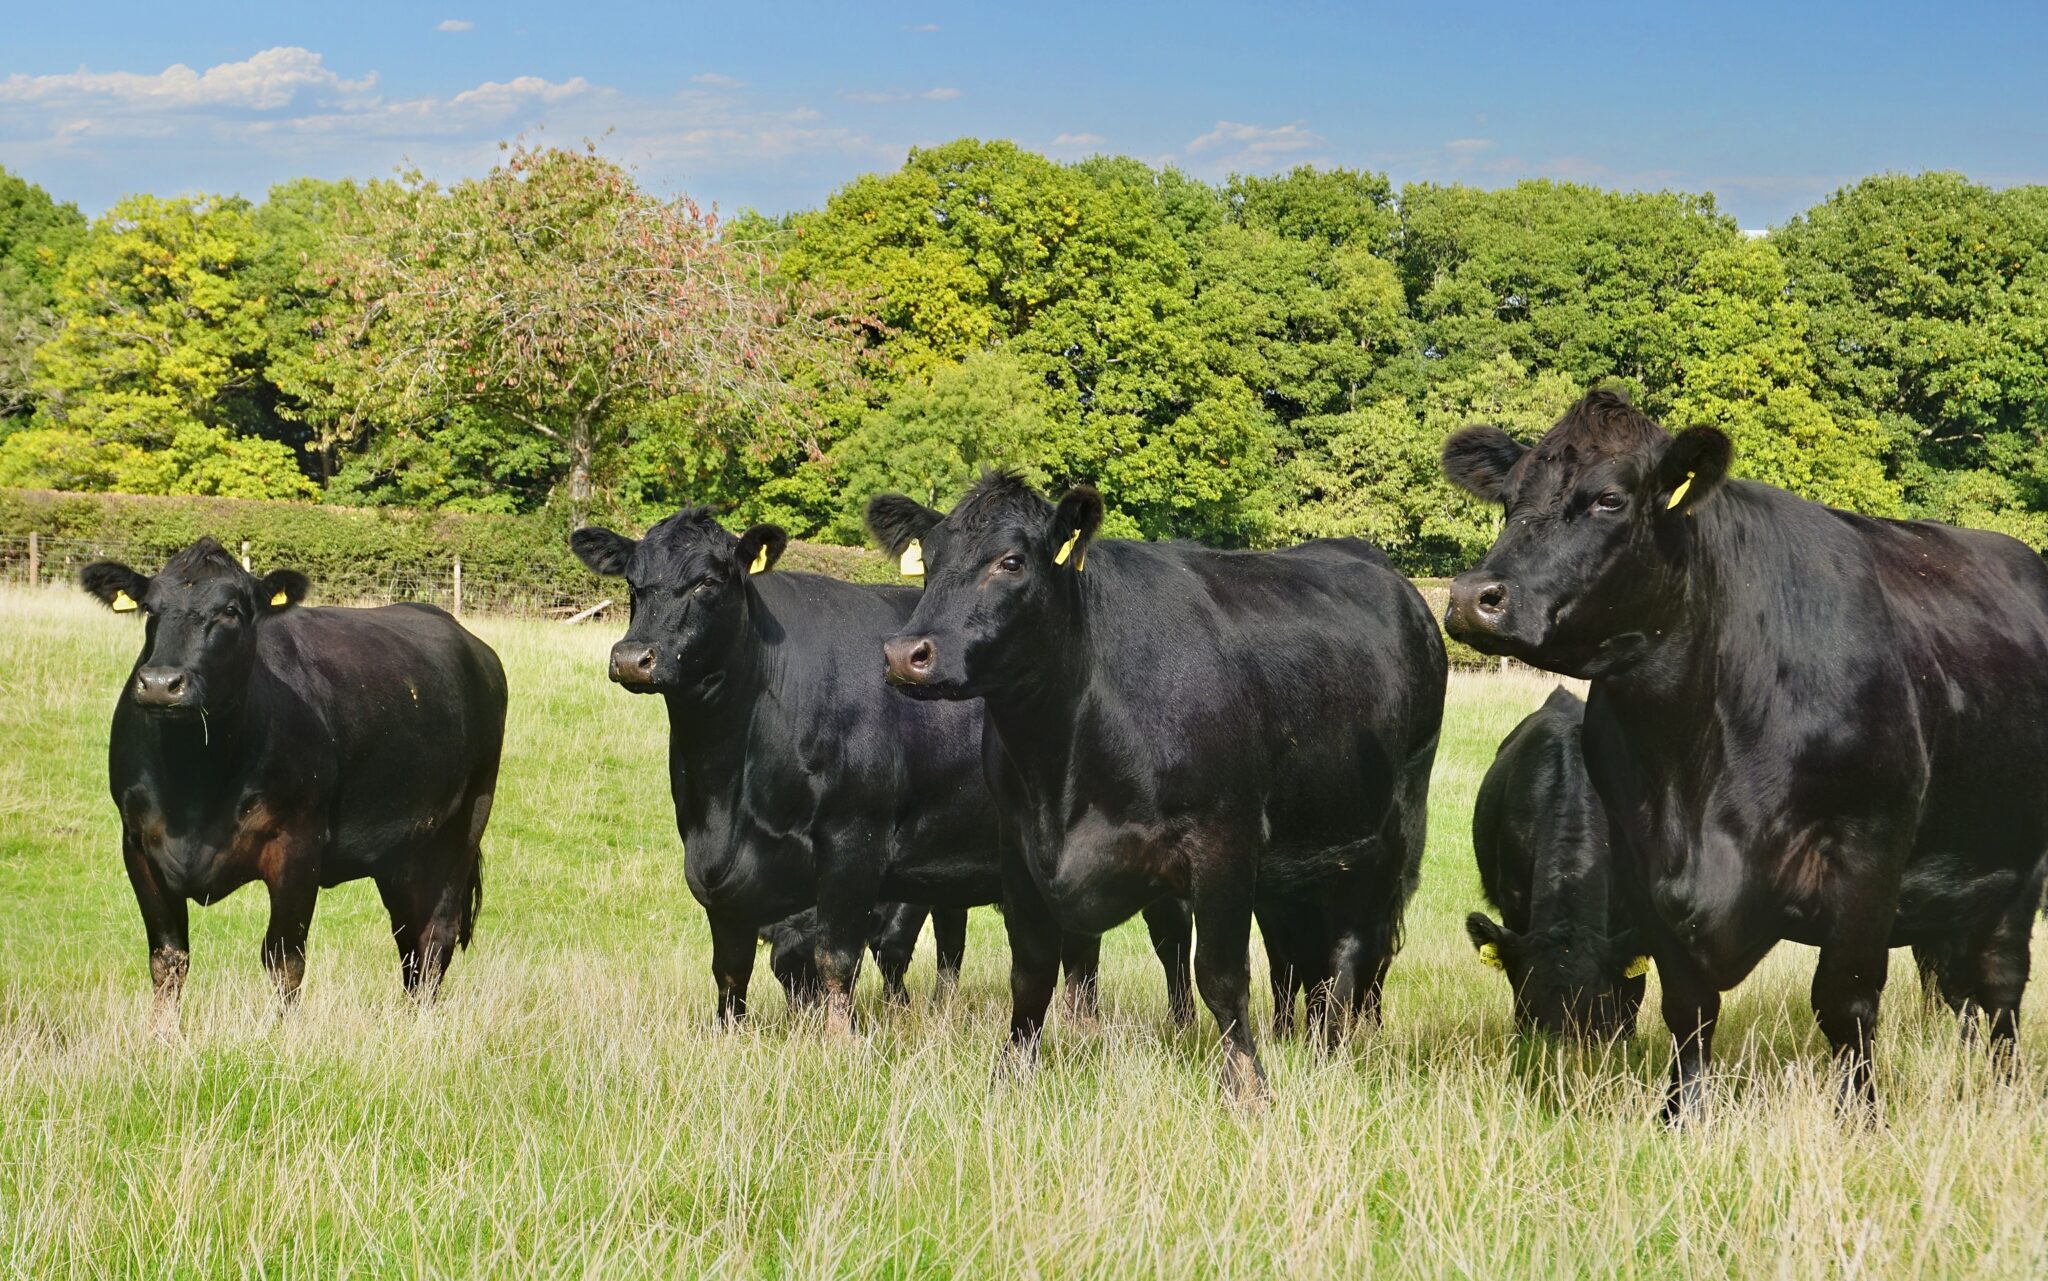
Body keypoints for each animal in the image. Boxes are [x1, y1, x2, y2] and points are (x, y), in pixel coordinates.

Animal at [80, 537, 506, 1034]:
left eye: (231, 611)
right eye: (150, 607)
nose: (162, 684)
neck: (196, 779)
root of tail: (469, 640)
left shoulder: (298, 846)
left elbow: (284, 958)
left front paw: (280, 1037)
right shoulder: (138, 845)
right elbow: (168, 958)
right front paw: (162, 1038)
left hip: (466, 821)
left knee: (437, 933)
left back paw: (420, 1024)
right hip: (402, 851)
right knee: (410, 936)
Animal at [570, 508, 1196, 1035]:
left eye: (707, 581)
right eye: (633, 584)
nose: (633, 658)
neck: (729, 784)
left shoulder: (854, 841)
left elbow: (835, 954)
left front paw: (840, 1042)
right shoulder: (711, 868)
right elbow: (732, 967)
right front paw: (730, 1039)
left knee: (1169, 937)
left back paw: (1179, 1026)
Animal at [870, 472, 1447, 1099]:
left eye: (1012, 561)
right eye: (929, 561)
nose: (904, 654)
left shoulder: (1224, 840)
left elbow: (1220, 975)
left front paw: (1248, 1088)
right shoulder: (1019, 848)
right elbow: (1031, 973)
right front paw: (1010, 1077)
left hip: (1392, 836)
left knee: (1357, 947)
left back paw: (1334, 1047)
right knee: (1300, 953)